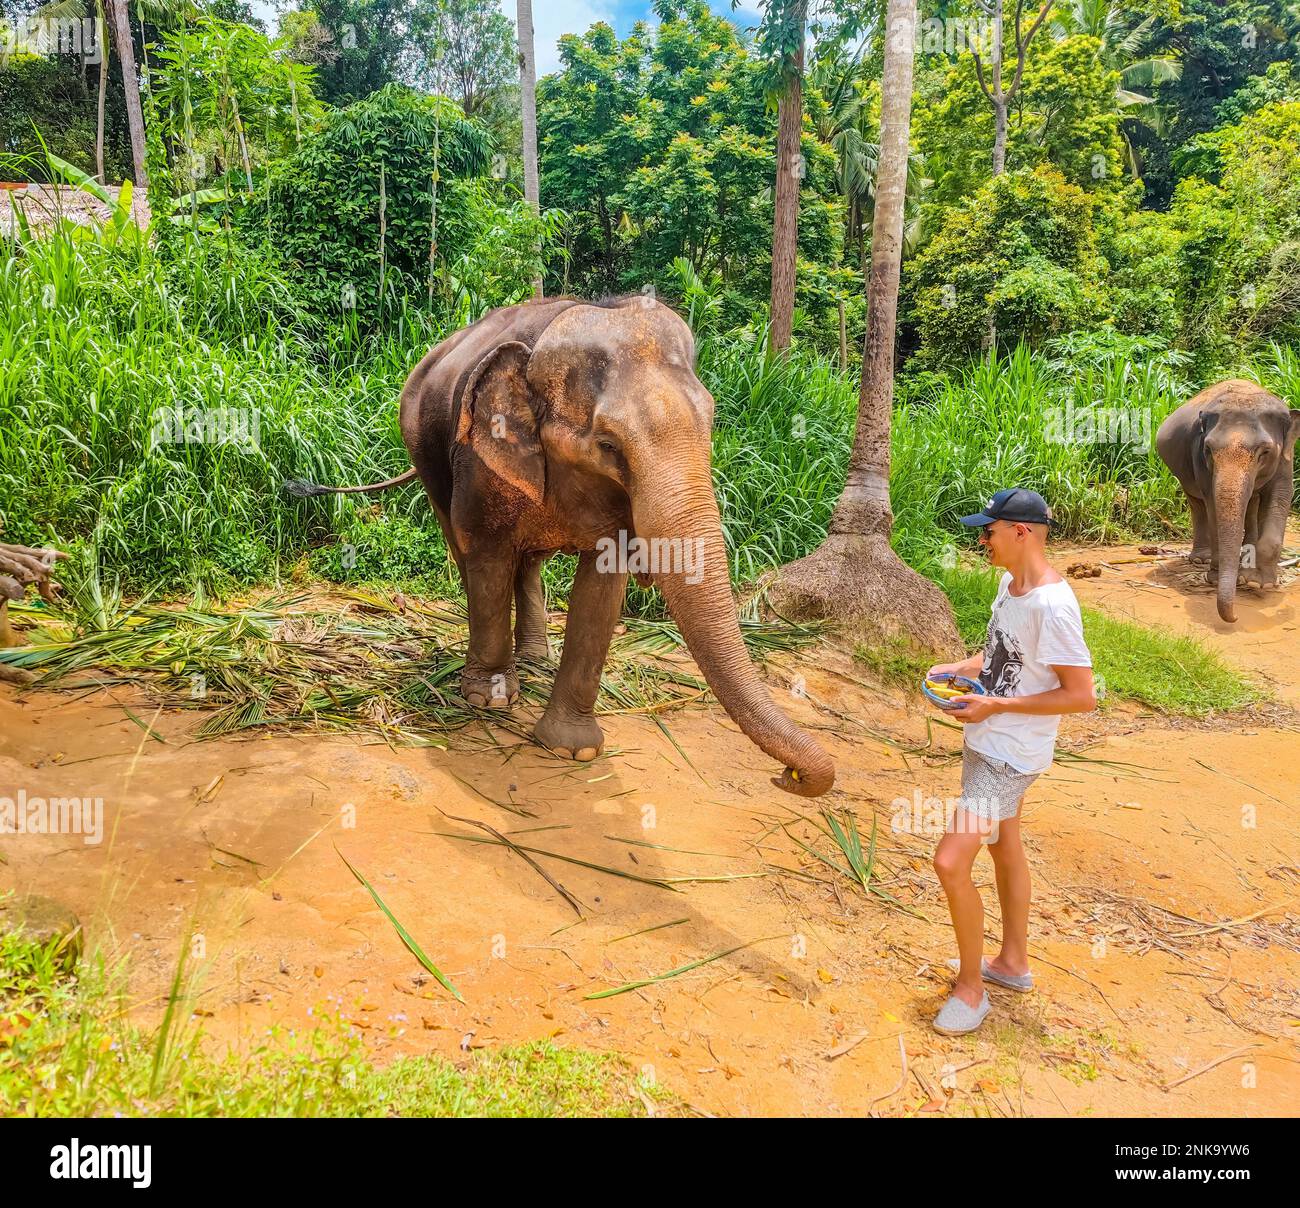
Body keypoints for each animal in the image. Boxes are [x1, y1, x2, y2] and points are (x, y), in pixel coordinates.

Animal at [289, 295, 835, 797]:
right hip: (422, 446)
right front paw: (489, 700)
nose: (787, 776)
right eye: (609, 445)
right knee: (462, 542)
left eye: (712, 423)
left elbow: (602, 588)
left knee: (529, 562)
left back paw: (534, 658)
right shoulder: (481, 454)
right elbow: (487, 552)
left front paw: (574, 750)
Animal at [1156, 380, 1300, 623]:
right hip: (1183, 472)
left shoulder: (1285, 460)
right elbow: (1213, 504)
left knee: (1252, 503)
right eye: (1208, 449)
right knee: (1197, 504)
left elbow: (1280, 497)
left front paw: (1259, 583)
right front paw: (1216, 579)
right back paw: (1201, 560)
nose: (1235, 618)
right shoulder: (1200, 460)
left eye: (1265, 451)